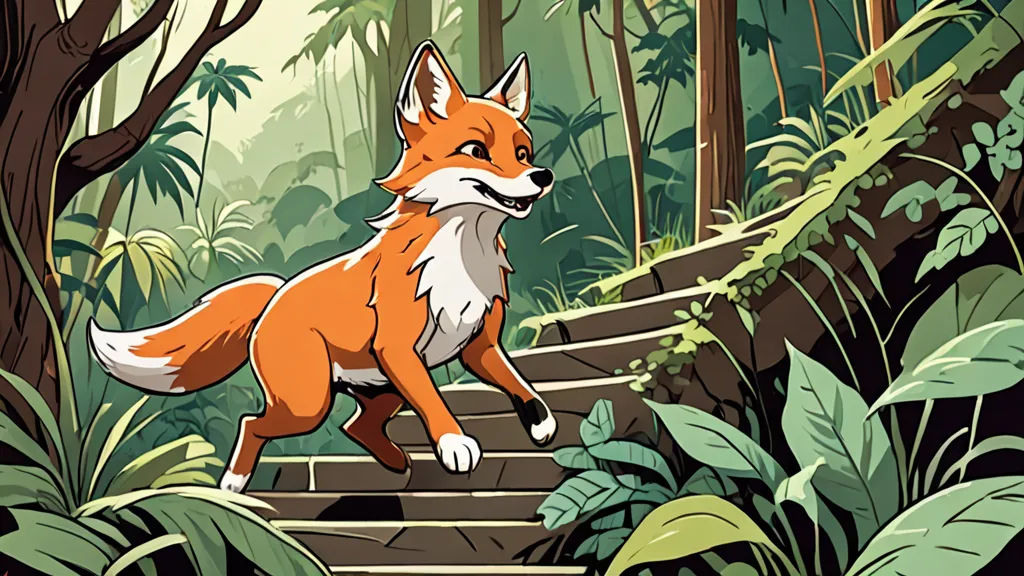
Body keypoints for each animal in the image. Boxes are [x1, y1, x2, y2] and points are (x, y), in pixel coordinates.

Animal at [87, 40, 558, 493]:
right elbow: (434, 400)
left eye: (523, 153)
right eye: (476, 151)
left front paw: (540, 422)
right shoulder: (400, 349)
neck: (460, 255)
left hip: (381, 388)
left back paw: (397, 464)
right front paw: (454, 442)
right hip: (310, 404)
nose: (543, 176)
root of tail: (273, 298)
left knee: (354, 425)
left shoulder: (479, 345)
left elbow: (521, 386)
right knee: (253, 423)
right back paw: (234, 483)